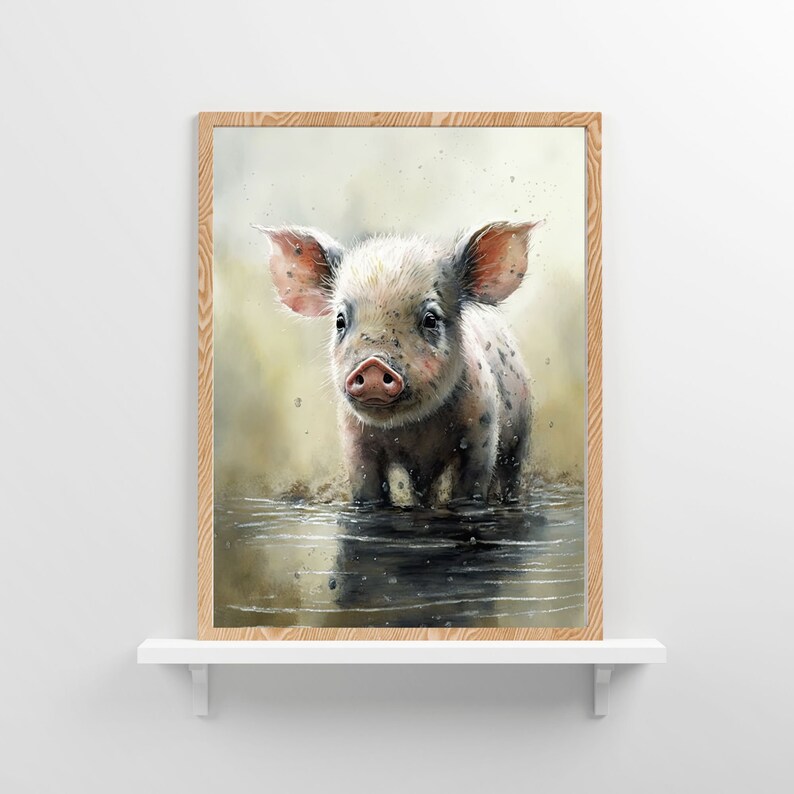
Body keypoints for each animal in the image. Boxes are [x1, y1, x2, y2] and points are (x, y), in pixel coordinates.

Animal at [254, 220, 542, 507]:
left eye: (431, 319)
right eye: (339, 320)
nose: (372, 364)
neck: (414, 430)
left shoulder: (481, 433)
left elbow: (469, 489)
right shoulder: (355, 441)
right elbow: (368, 492)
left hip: (521, 435)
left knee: (510, 476)